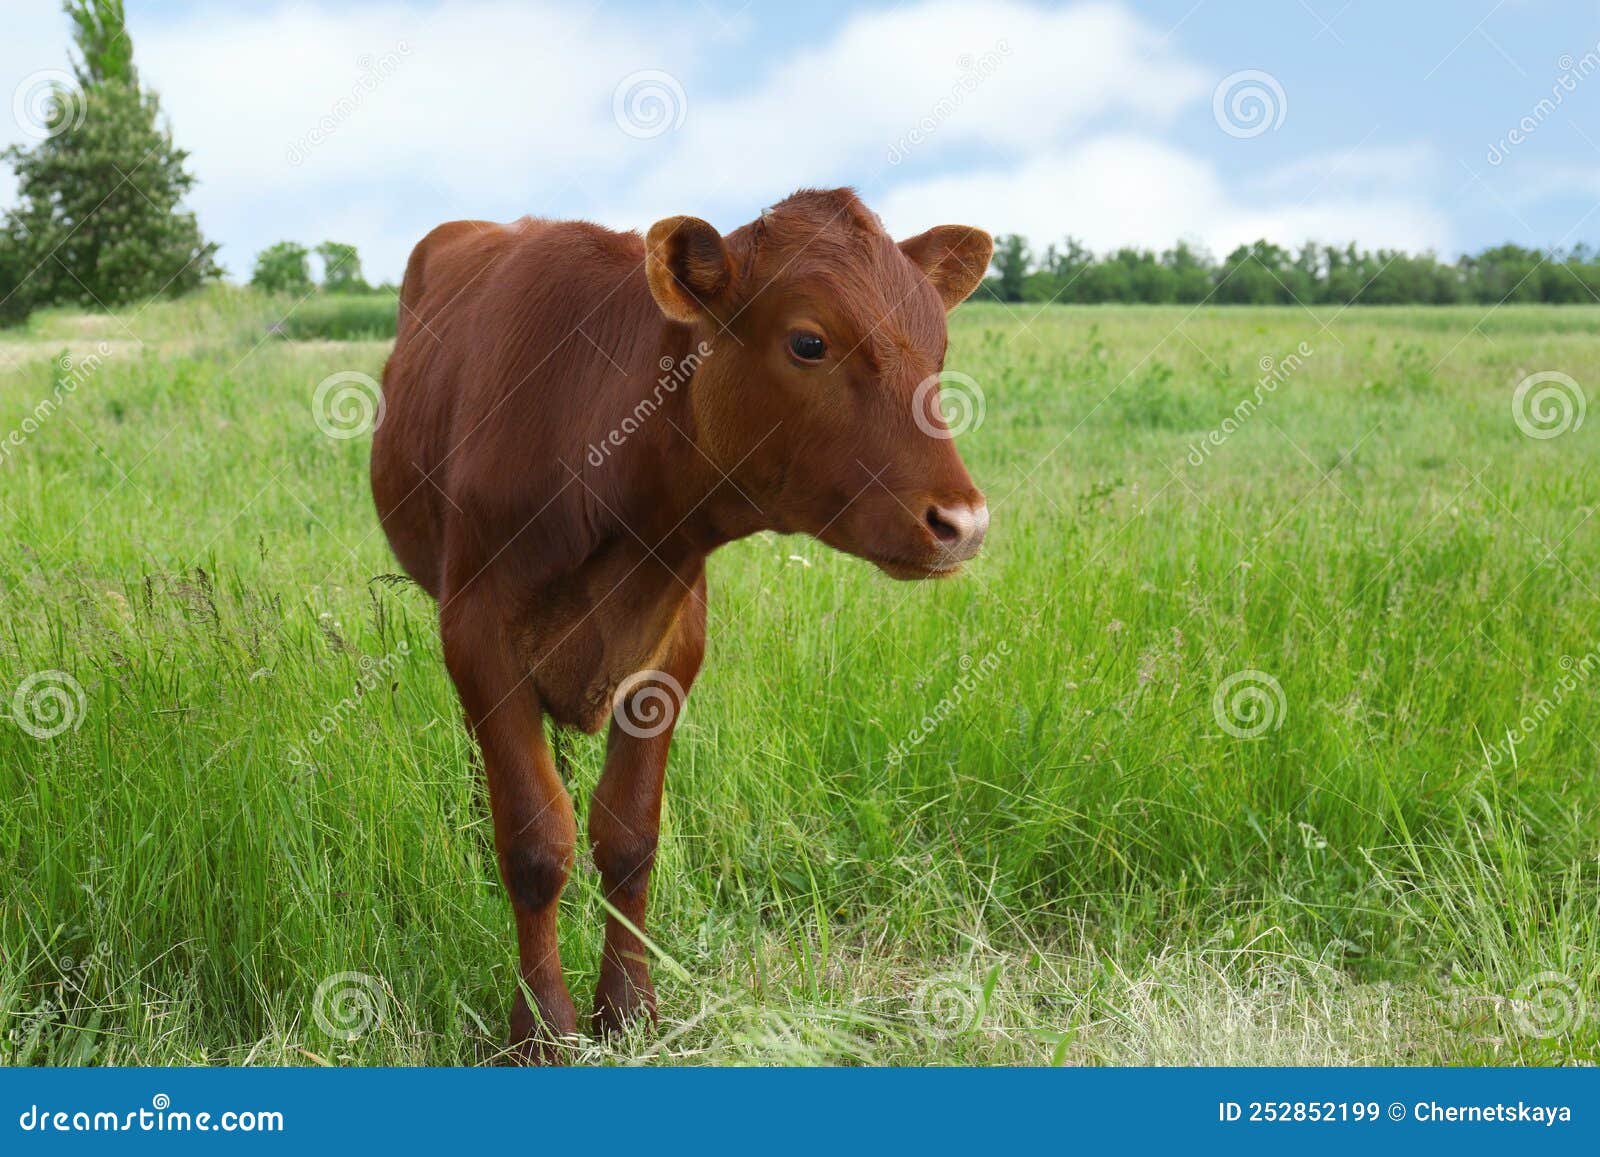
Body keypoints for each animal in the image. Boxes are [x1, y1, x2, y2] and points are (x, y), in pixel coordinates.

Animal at [371, 187, 992, 1061]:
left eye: (938, 349)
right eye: (809, 341)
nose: (962, 522)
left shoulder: (669, 651)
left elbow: (628, 837)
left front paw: (630, 1009)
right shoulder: (478, 635)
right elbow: (535, 840)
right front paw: (542, 1027)